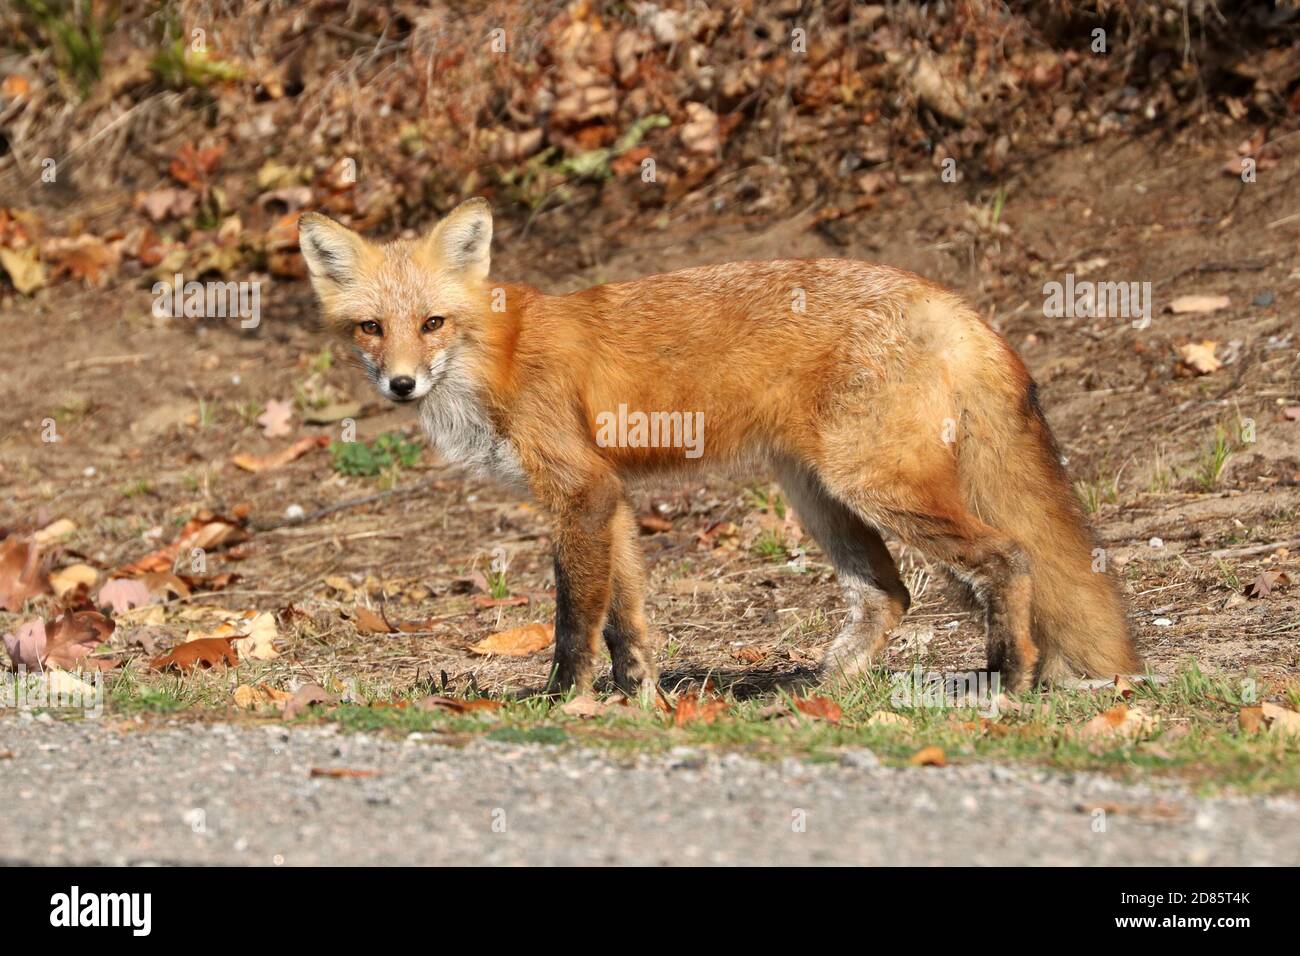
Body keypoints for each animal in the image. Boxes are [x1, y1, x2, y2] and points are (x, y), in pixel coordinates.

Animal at [298, 198, 1141, 697]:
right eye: (371, 328)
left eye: (432, 323)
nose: (401, 384)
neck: (495, 358)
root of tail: (944, 298)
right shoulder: (613, 498)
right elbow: (627, 621)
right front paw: (636, 700)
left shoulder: (580, 491)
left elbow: (575, 619)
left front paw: (561, 701)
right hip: (819, 494)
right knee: (889, 595)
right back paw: (816, 694)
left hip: (874, 484)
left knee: (1009, 557)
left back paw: (1009, 680)